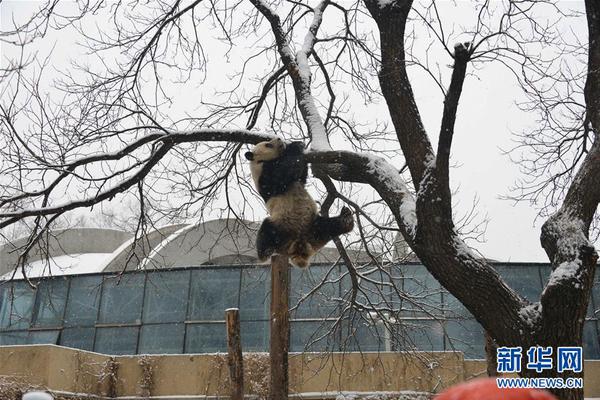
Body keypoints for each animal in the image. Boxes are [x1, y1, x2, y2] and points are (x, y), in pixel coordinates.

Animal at [244, 138, 354, 268]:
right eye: (268, 144)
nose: (279, 139)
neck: (259, 161)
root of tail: (298, 246)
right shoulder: (264, 176)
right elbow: (283, 172)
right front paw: (295, 145)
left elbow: (301, 176)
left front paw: (297, 144)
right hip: (281, 226)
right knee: (266, 230)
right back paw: (265, 253)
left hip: (313, 224)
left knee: (328, 226)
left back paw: (346, 219)